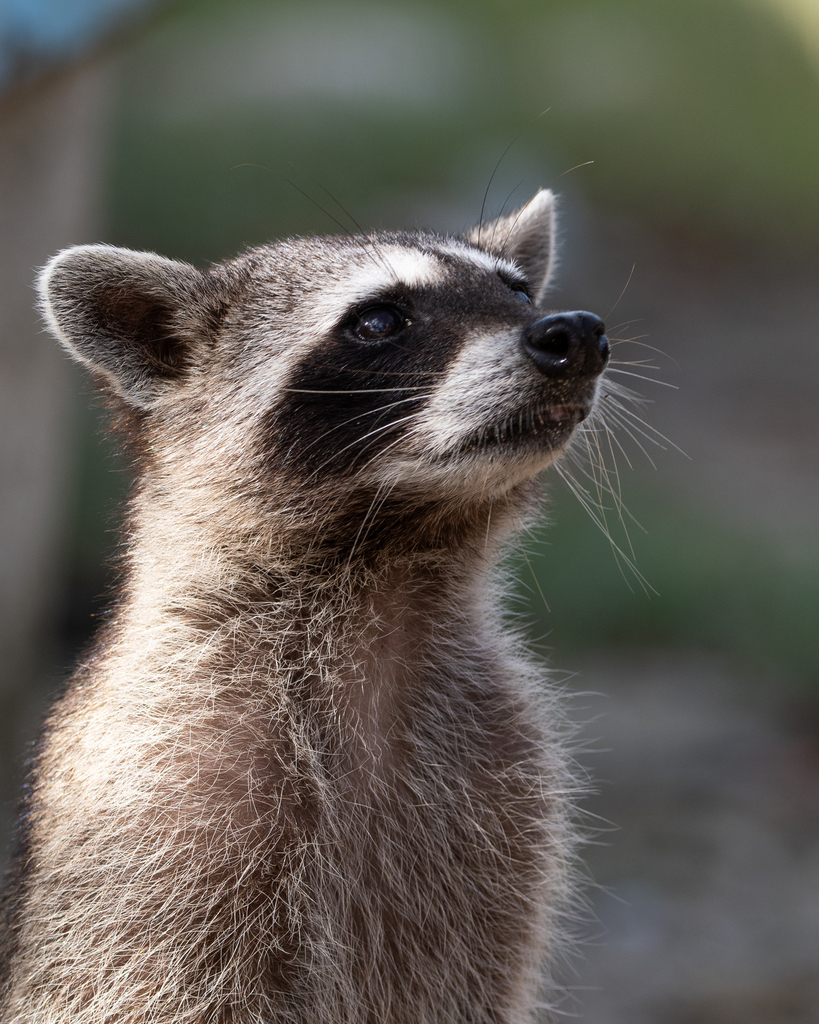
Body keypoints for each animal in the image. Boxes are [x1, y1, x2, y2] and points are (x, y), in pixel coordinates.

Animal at [0, 190, 609, 1024]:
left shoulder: (502, 793)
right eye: (379, 321)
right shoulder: (152, 807)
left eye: (517, 292)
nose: (575, 333)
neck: (386, 571)